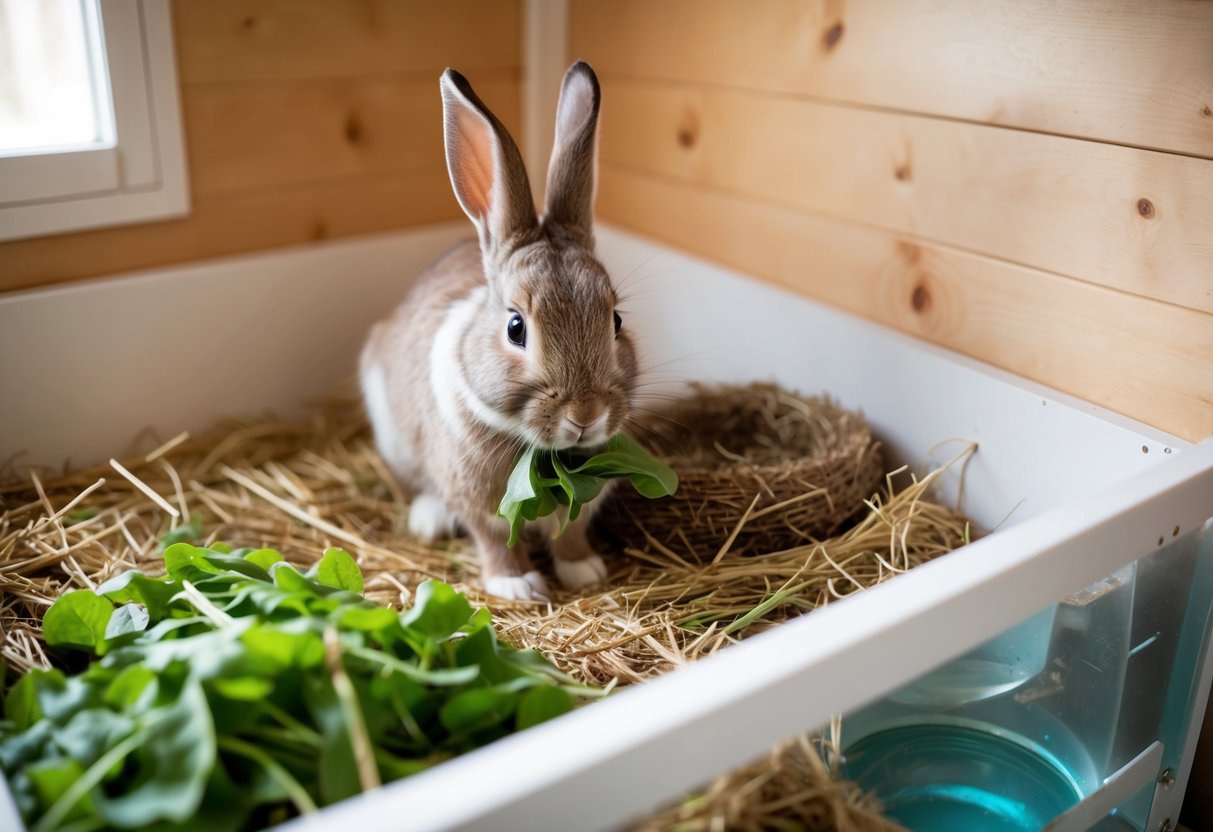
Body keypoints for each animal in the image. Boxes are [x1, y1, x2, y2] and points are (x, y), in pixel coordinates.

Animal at [359, 61, 636, 602]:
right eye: (515, 327)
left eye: (615, 319)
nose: (585, 414)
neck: (545, 456)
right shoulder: (477, 500)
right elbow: (491, 538)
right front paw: (517, 586)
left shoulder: (581, 505)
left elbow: (570, 532)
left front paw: (584, 571)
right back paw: (429, 519)